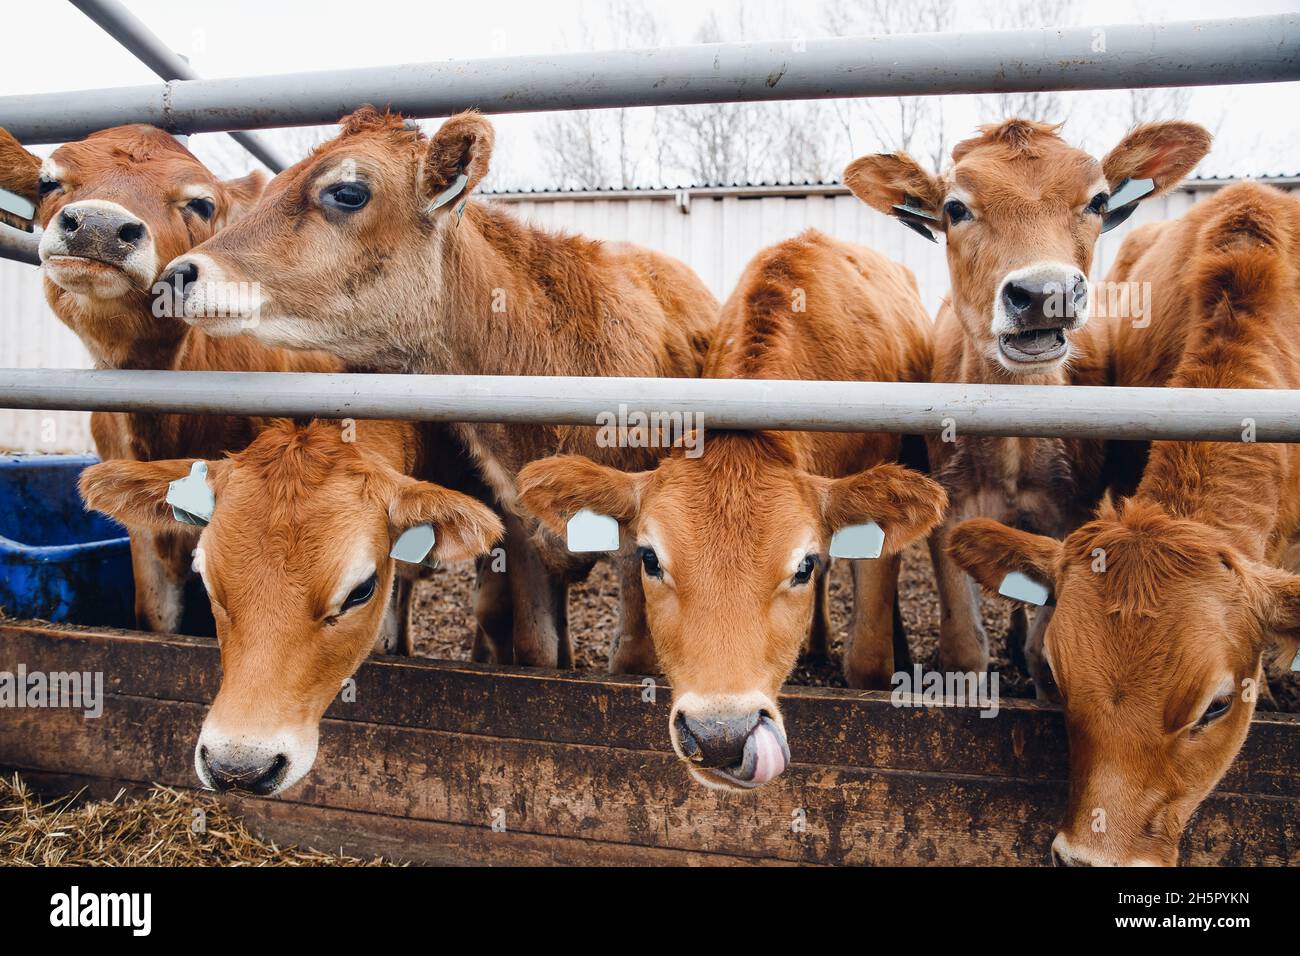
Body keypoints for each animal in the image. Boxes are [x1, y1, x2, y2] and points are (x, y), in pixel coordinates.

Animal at [842, 118, 1211, 693]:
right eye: (956, 208)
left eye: (1098, 200)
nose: (1044, 293)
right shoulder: (952, 505)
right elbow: (964, 647)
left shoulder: (1074, 509)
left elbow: (1046, 647)